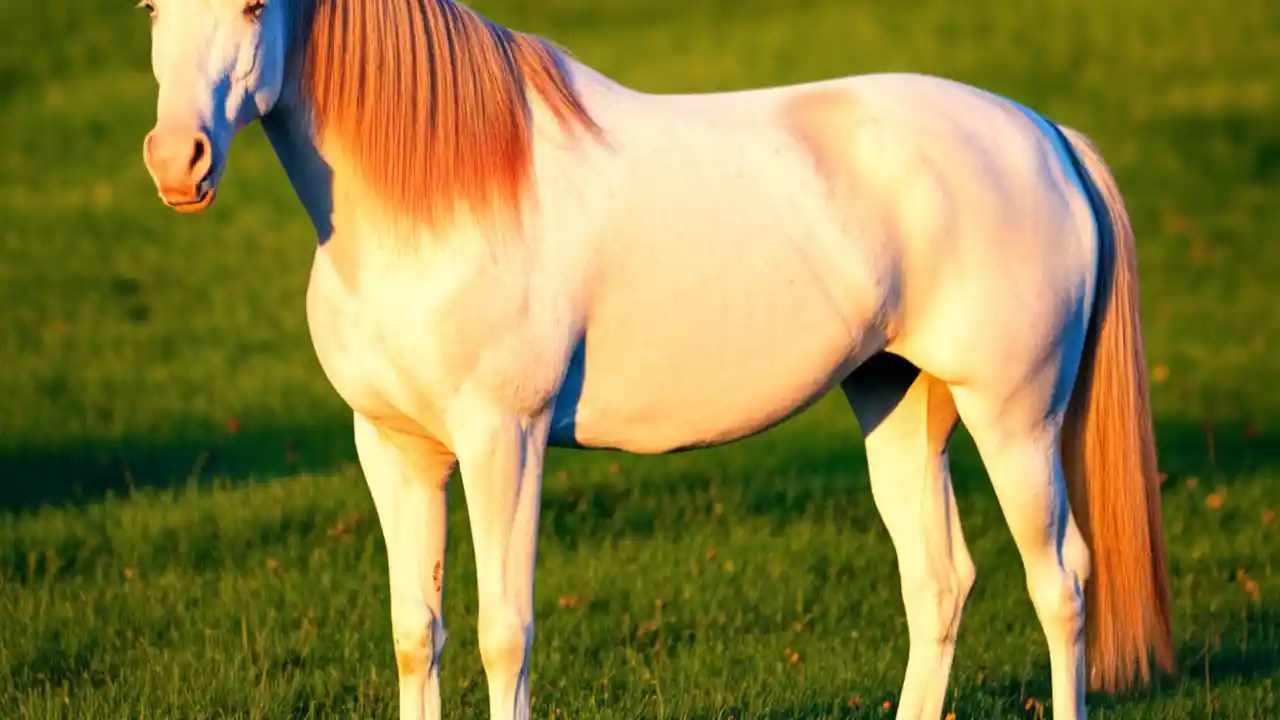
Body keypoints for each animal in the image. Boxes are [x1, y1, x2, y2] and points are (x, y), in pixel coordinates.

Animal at [138, 1, 1173, 718]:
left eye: (254, 6)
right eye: (150, 8)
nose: (176, 160)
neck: (436, 200)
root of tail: (1050, 139)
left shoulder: (503, 442)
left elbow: (504, 634)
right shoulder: (393, 450)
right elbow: (413, 634)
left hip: (1015, 417)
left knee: (1062, 584)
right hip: (899, 401)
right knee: (939, 582)